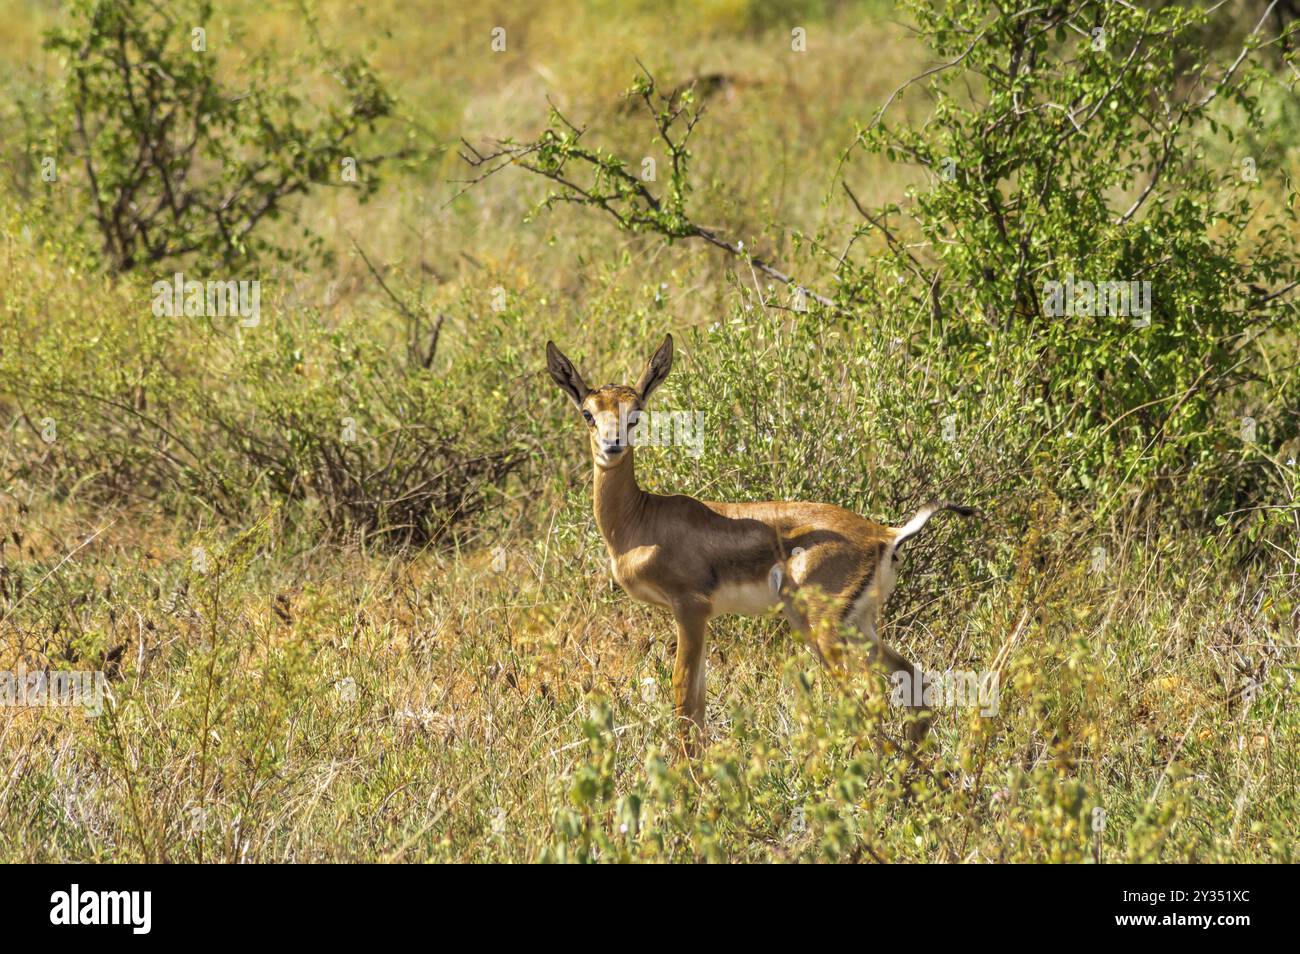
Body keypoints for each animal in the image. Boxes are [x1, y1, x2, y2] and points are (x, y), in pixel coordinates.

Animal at [546, 334, 973, 750]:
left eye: (635, 412)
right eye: (588, 412)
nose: (612, 445)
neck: (640, 520)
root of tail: (886, 535)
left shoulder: (690, 609)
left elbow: (683, 697)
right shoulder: (701, 617)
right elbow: (699, 703)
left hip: (822, 629)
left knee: (866, 699)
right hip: (858, 624)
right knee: (913, 682)